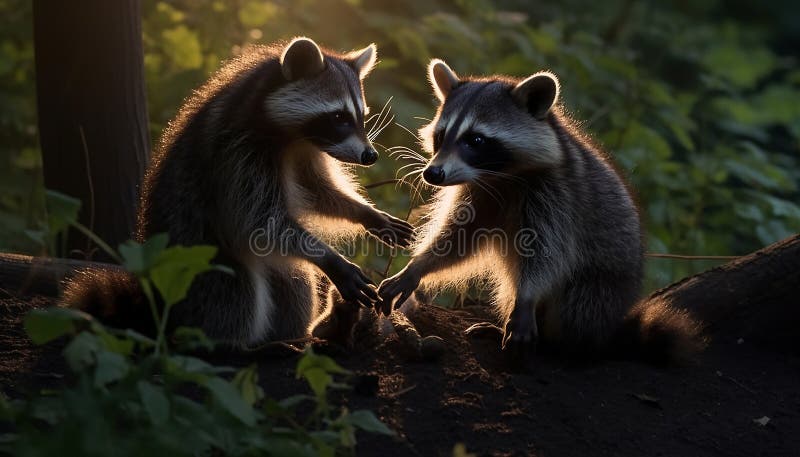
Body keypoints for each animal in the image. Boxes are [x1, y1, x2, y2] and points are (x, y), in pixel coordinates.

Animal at [63, 37, 414, 347]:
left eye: (361, 117)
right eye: (339, 117)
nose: (370, 156)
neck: (289, 134)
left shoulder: (304, 151)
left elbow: (317, 193)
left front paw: (364, 212)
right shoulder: (237, 150)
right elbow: (260, 221)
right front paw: (331, 258)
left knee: (295, 282)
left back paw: (290, 333)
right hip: (195, 258)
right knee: (233, 292)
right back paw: (231, 342)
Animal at [378, 59, 703, 362]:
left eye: (476, 140)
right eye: (440, 136)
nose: (432, 174)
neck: (499, 176)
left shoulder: (558, 195)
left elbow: (548, 252)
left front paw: (527, 297)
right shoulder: (479, 195)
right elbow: (459, 239)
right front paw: (418, 265)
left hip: (602, 285)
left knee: (576, 303)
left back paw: (557, 343)